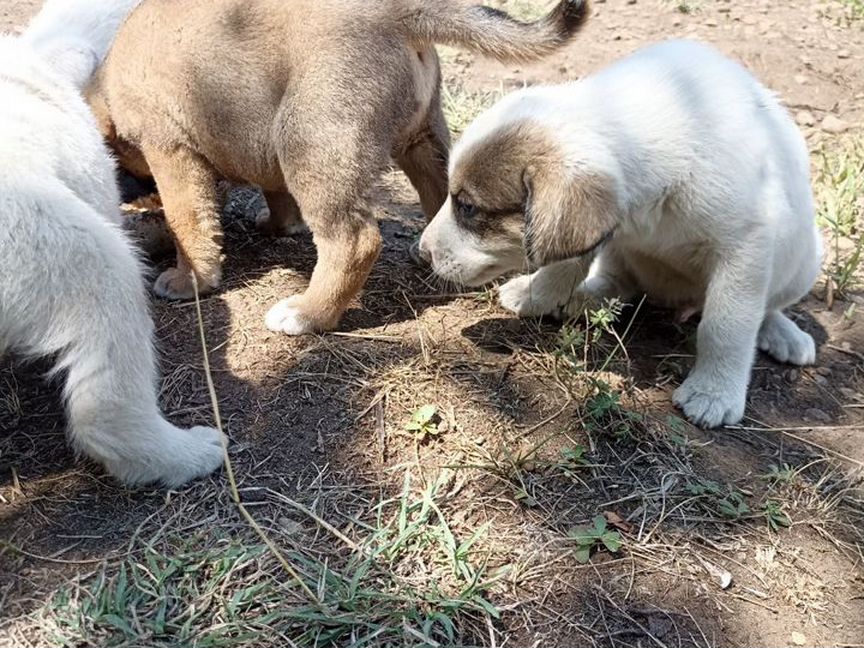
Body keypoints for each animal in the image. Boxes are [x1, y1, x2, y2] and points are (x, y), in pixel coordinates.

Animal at [98, 0, 592, 334]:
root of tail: (397, 12)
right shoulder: (259, 141)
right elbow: (274, 192)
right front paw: (278, 226)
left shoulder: (172, 152)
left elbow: (189, 221)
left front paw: (189, 279)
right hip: (418, 138)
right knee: (438, 194)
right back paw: (431, 254)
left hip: (310, 139)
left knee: (354, 242)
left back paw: (307, 313)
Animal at [418, 38, 824, 428]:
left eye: (467, 207)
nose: (421, 250)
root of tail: (676, 299)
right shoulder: (606, 223)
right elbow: (565, 263)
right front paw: (535, 293)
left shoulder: (745, 248)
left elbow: (726, 326)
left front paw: (714, 392)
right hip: (623, 254)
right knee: (620, 284)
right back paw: (586, 298)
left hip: (804, 261)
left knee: (767, 306)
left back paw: (783, 334)